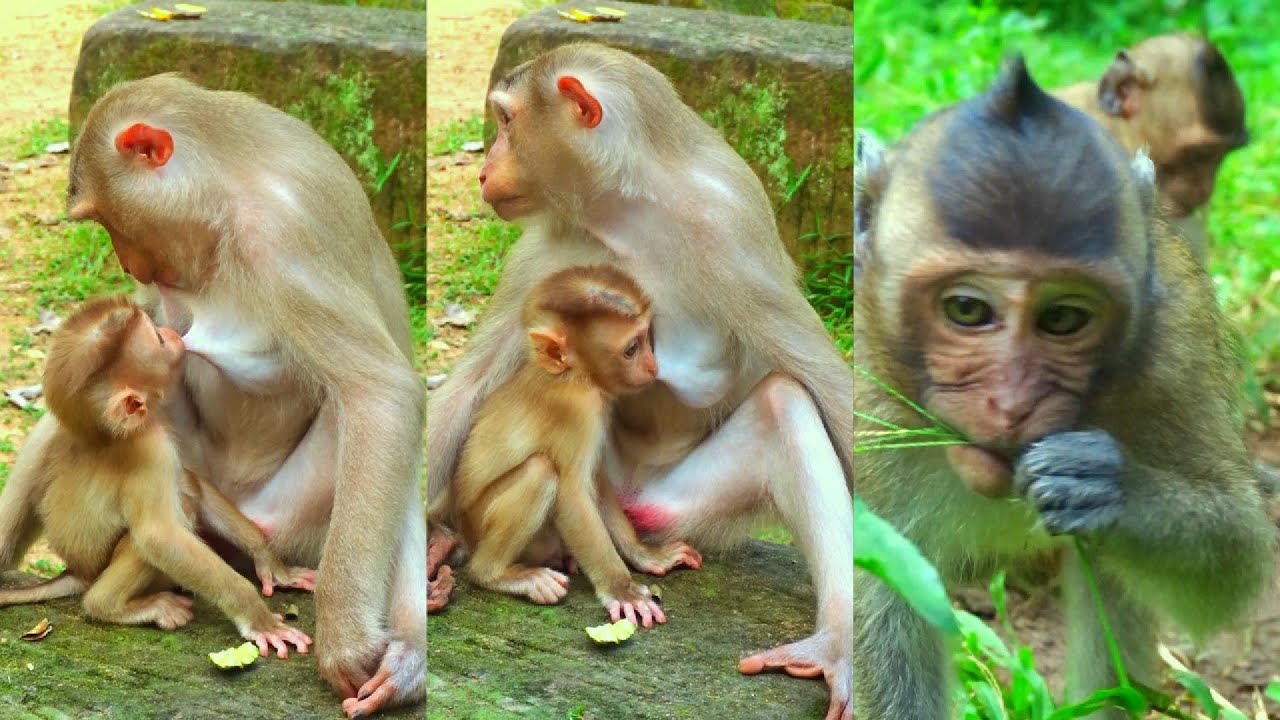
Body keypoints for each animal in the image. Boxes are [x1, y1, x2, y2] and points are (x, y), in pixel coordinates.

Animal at [0, 297, 314, 657]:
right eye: (159, 341)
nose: (171, 333)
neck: (106, 435)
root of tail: (77, 571)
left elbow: (194, 484)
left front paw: (272, 563)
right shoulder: (151, 449)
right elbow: (159, 535)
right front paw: (258, 619)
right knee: (164, 527)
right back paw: (112, 605)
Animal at [430, 265, 701, 628]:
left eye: (648, 338)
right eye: (632, 348)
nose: (653, 367)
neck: (574, 377)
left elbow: (596, 481)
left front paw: (646, 554)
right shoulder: (577, 414)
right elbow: (574, 495)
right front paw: (623, 590)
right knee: (540, 471)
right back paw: (498, 574)